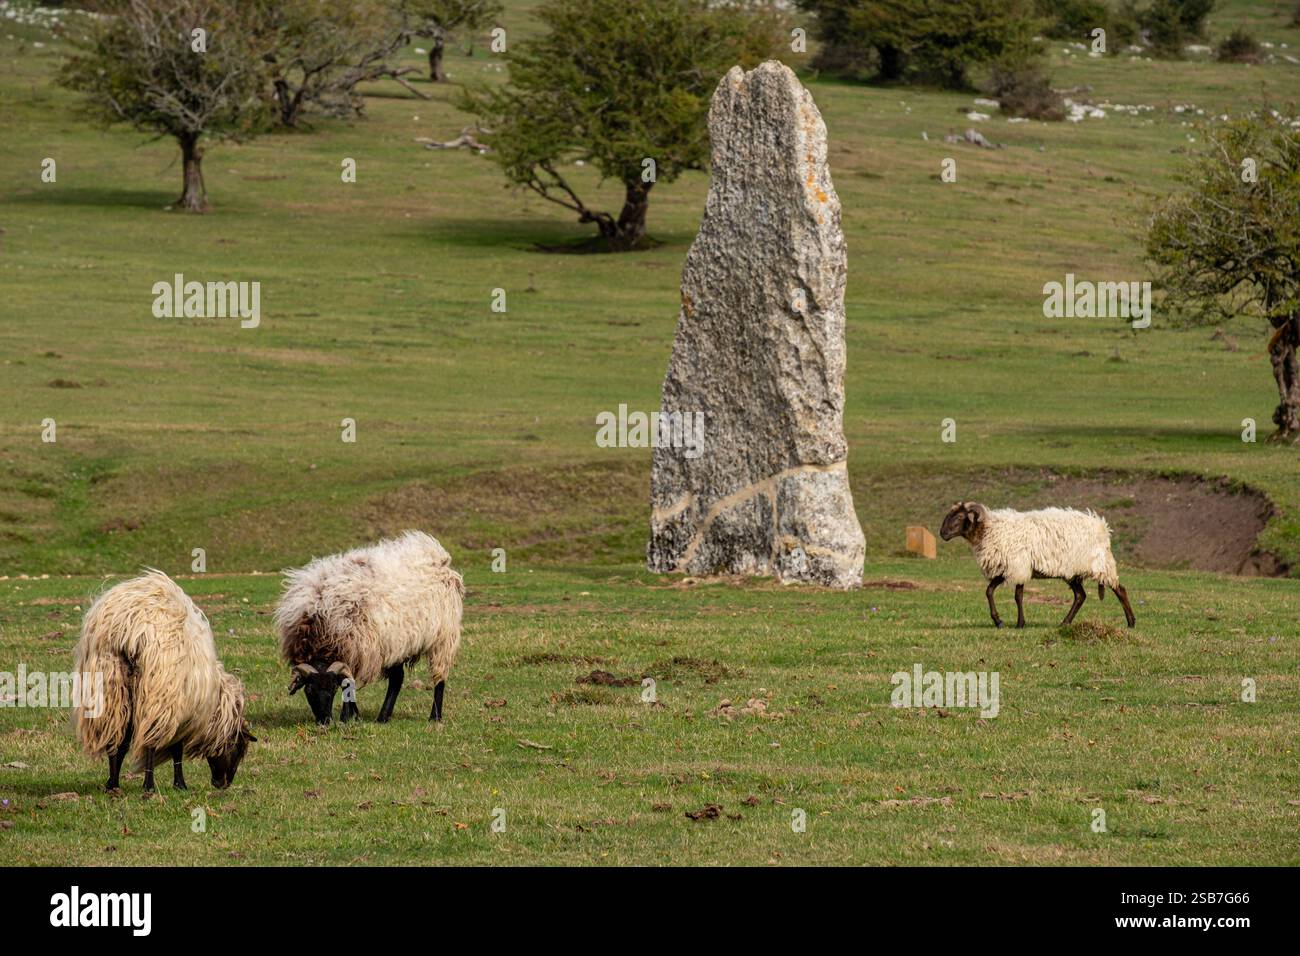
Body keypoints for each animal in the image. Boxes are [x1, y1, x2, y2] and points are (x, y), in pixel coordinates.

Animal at [73, 570, 255, 792]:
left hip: (109, 687)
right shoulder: (182, 711)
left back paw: (114, 785)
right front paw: (180, 784)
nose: (222, 784)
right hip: (157, 691)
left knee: (116, 740)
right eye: (238, 749)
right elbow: (176, 748)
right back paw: (148, 785)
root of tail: (128, 627)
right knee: (149, 742)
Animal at [275, 530, 464, 726]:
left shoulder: (356, 651)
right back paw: (383, 717)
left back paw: (435, 716)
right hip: (395, 642)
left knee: (439, 677)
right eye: (309, 690)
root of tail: (438, 557)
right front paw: (354, 716)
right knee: (397, 679)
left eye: (333, 689)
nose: (324, 721)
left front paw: (346, 717)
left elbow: (348, 685)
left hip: (443, 637)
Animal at [939, 501, 1136, 629]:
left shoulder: (1019, 567)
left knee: (1120, 590)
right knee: (1080, 596)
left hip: (1101, 565)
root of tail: (1102, 526)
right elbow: (989, 591)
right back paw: (1064, 623)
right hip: (1072, 572)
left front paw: (1019, 624)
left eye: (959, 517)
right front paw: (999, 621)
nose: (942, 534)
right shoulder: (1006, 569)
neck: (988, 529)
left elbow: (1018, 597)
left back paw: (1131, 622)